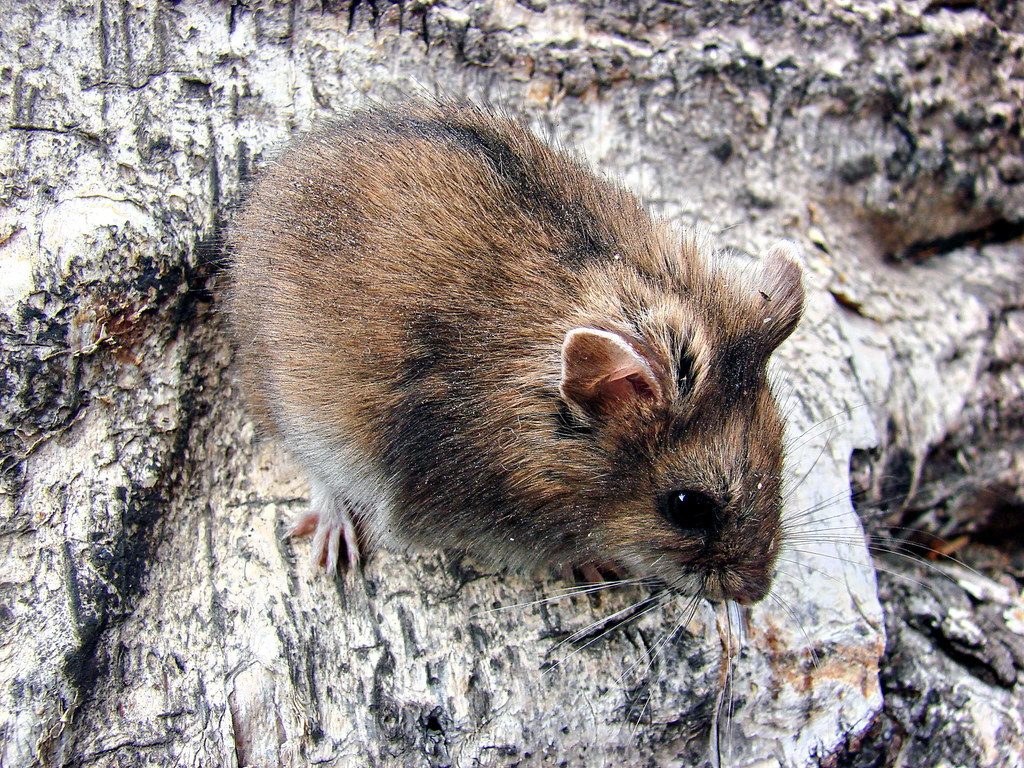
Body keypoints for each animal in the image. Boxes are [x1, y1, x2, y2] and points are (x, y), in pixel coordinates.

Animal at [226, 100, 804, 605]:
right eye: (688, 507)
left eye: (781, 457)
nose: (755, 596)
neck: (545, 421)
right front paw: (596, 569)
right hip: (290, 403)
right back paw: (332, 536)